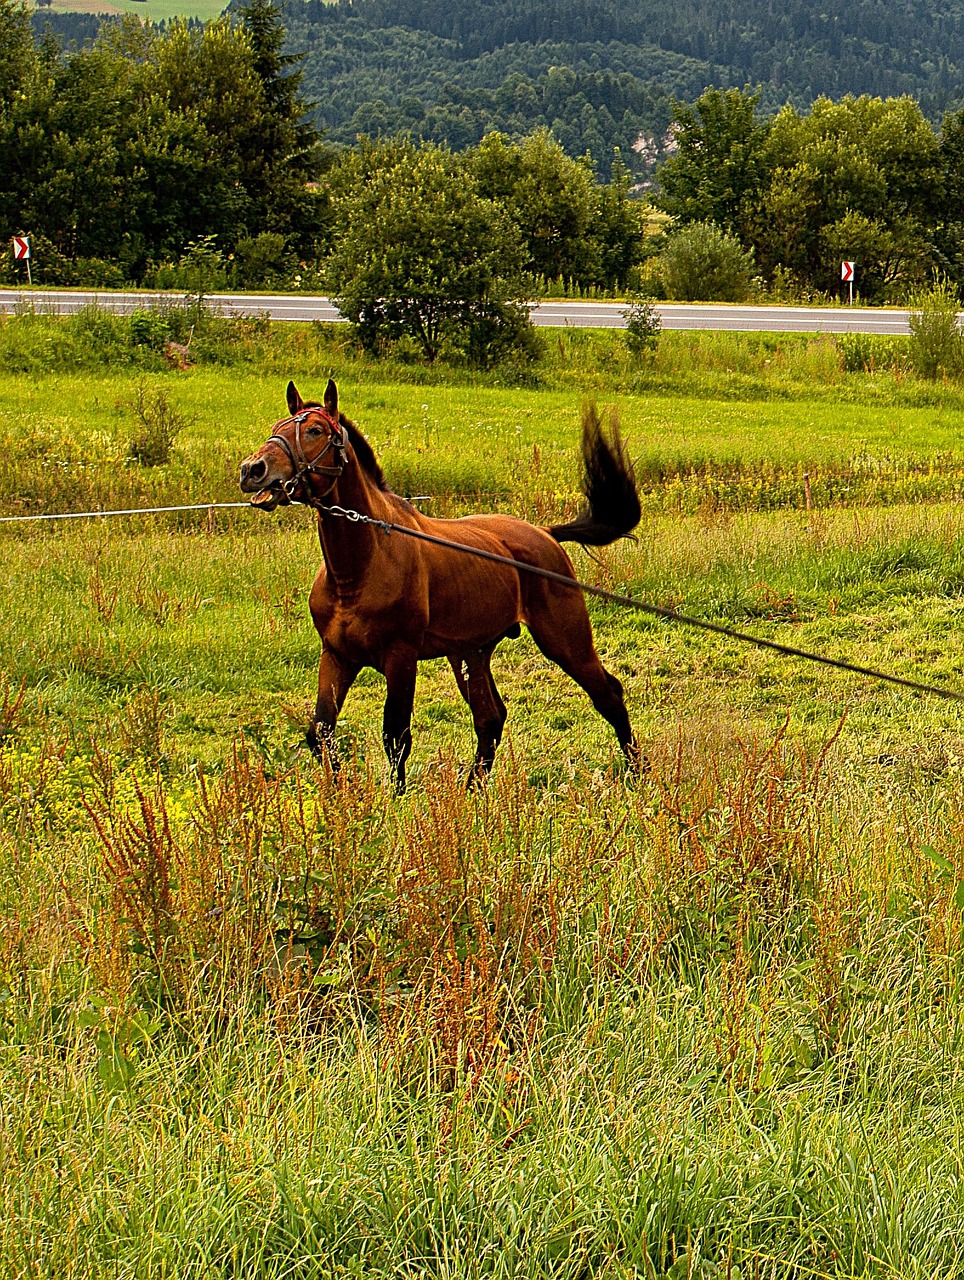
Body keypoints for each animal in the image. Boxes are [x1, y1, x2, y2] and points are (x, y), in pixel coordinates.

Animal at [239, 380, 642, 790]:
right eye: (277, 426)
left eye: (315, 430)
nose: (252, 469)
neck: (363, 564)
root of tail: (544, 533)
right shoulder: (337, 655)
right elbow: (321, 730)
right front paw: (339, 793)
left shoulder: (400, 658)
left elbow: (396, 735)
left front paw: (396, 799)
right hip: (471, 652)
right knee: (490, 717)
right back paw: (472, 789)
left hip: (565, 640)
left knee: (608, 694)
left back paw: (637, 771)